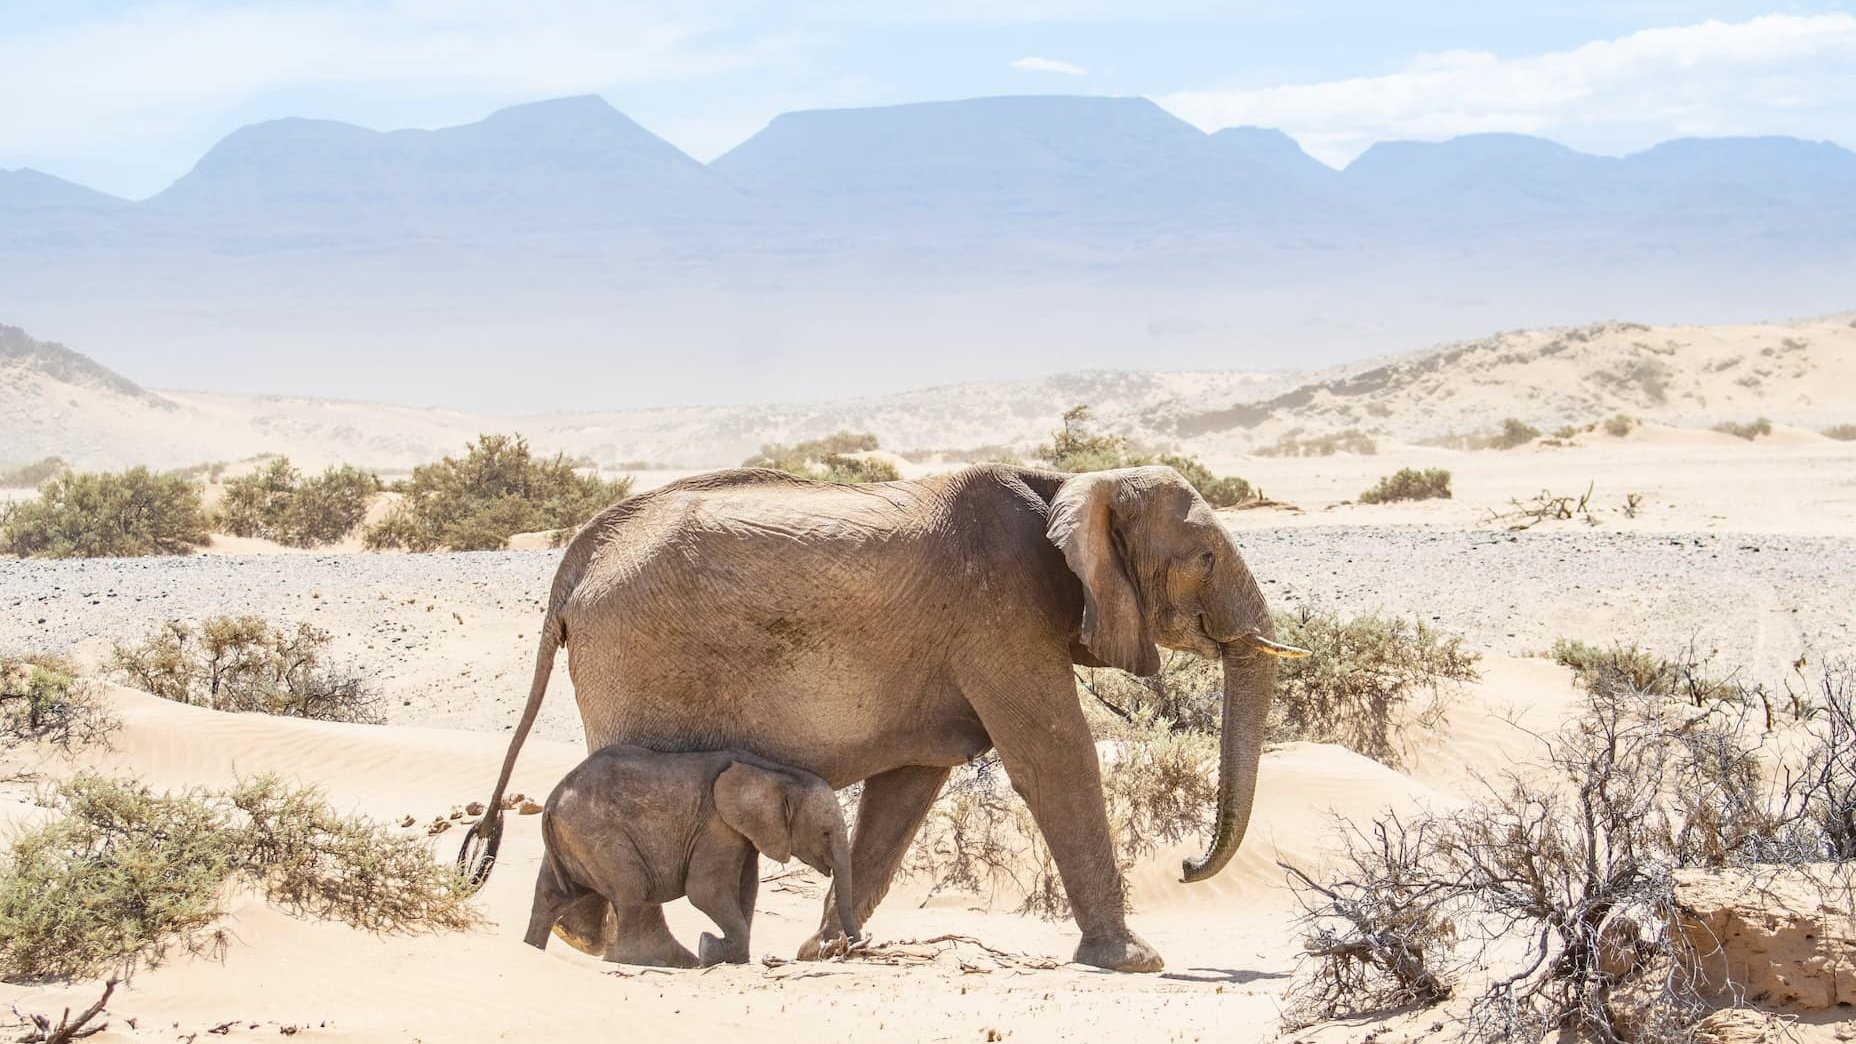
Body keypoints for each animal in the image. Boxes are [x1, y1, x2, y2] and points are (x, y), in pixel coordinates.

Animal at [524, 745, 857, 967]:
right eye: (825, 833)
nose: (847, 946)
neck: (775, 773)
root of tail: (551, 801)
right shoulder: (716, 825)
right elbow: (705, 891)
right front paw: (710, 949)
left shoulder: (739, 832)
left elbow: (746, 887)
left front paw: (727, 955)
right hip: (598, 835)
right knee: (631, 892)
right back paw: (632, 962)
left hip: (572, 839)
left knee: (550, 895)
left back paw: (531, 948)